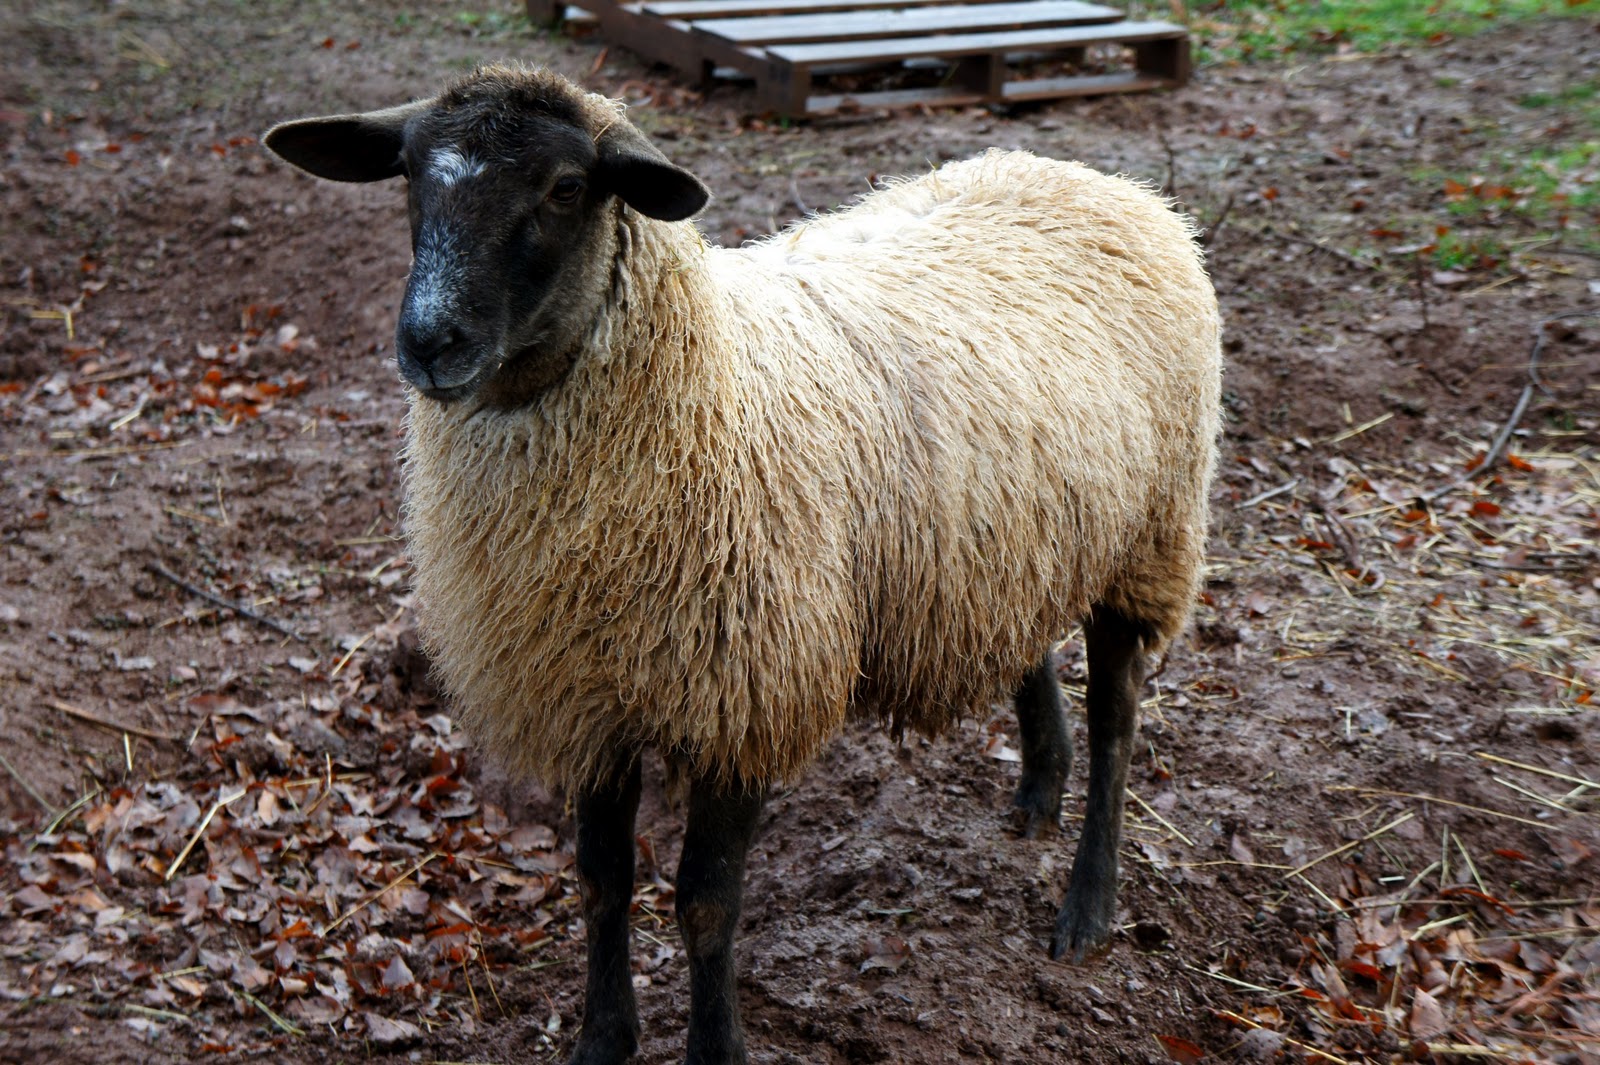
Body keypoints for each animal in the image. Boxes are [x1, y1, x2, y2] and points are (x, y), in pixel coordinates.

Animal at [264, 64, 1222, 1065]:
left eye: (567, 188)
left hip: (1151, 536)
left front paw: (714, 1046)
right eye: (410, 174)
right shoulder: (586, 690)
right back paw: (1039, 786)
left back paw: (1089, 903)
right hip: (1004, 535)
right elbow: (601, 878)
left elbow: (706, 902)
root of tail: (1099, 180)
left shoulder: (747, 692)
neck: (711, 381)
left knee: (1118, 721)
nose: (429, 341)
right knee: (1023, 637)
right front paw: (603, 1038)